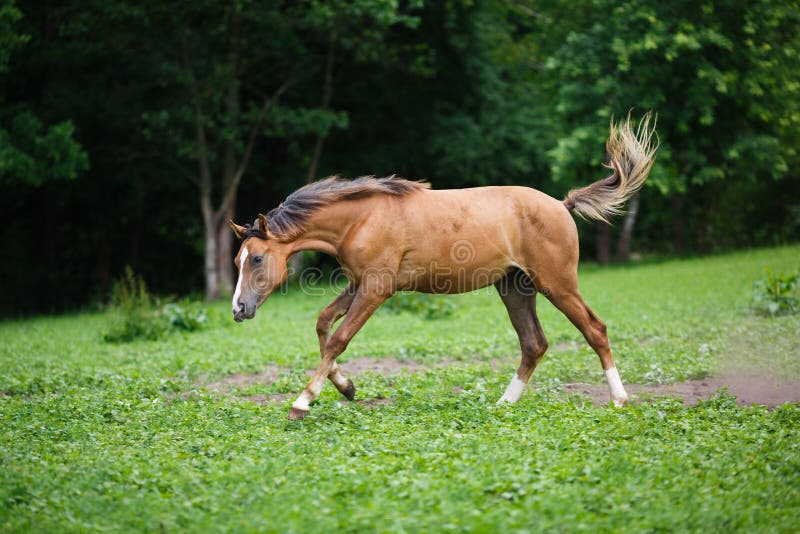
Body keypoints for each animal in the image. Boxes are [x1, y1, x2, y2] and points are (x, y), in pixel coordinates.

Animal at [230, 113, 657, 420]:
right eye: (238, 259)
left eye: (257, 258)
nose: (238, 309)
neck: (362, 218)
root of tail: (561, 204)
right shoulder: (358, 283)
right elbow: (322, 322)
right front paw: (346, 387)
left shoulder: (377, 288)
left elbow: (338, 337)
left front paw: (302, 402)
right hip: (514, 287)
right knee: (534, 343)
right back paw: (503, 403)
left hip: (557, 282)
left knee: (594, 329)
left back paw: (620, 400)